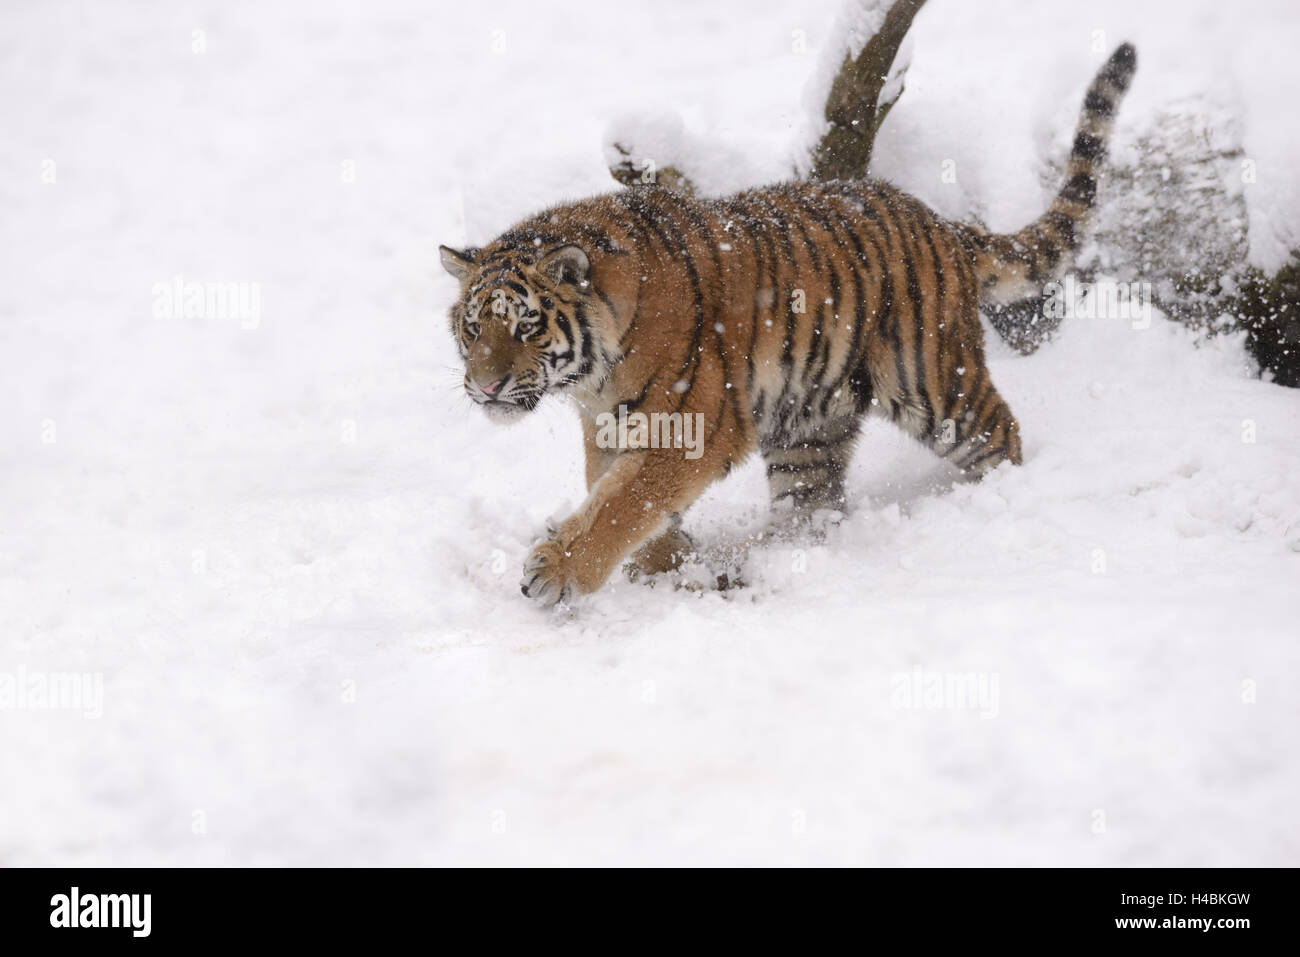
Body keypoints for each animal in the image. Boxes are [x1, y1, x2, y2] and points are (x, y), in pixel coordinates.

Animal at [439, 43, 1138, 606]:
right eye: (473, 330)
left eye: (525, 327)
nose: (486, 386)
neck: (592, 375)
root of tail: (942, 222)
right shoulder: (609, 425)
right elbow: (616, 493)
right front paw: (669, 566)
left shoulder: (691, 425)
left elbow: (626, 501)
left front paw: (557, 570)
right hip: (809, 424)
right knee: (813, 500)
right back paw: (786, 560)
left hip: (935, 383)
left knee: (1002, 433)